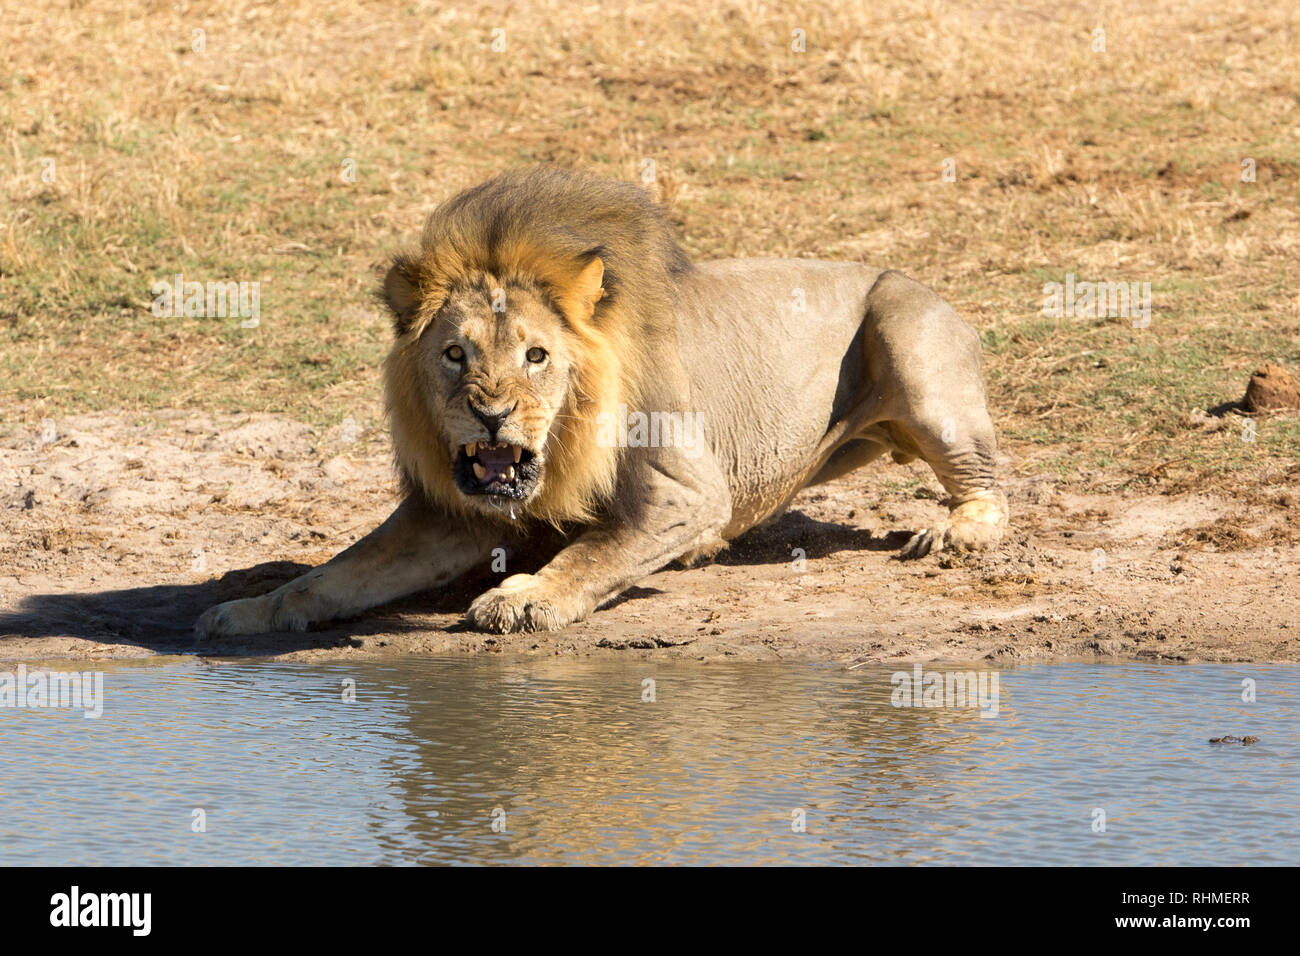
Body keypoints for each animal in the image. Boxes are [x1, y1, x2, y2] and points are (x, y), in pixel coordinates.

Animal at [196, 166, 1008, 638]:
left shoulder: (686, 489)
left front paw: (524, 597)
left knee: (992, 488)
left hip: (907, 329)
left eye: (536, 355)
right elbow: (333, 574)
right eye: (455, 354)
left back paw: (953, 531)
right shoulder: (449, 515)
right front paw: (245, 611)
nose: (490, 415)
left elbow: (597, 552)